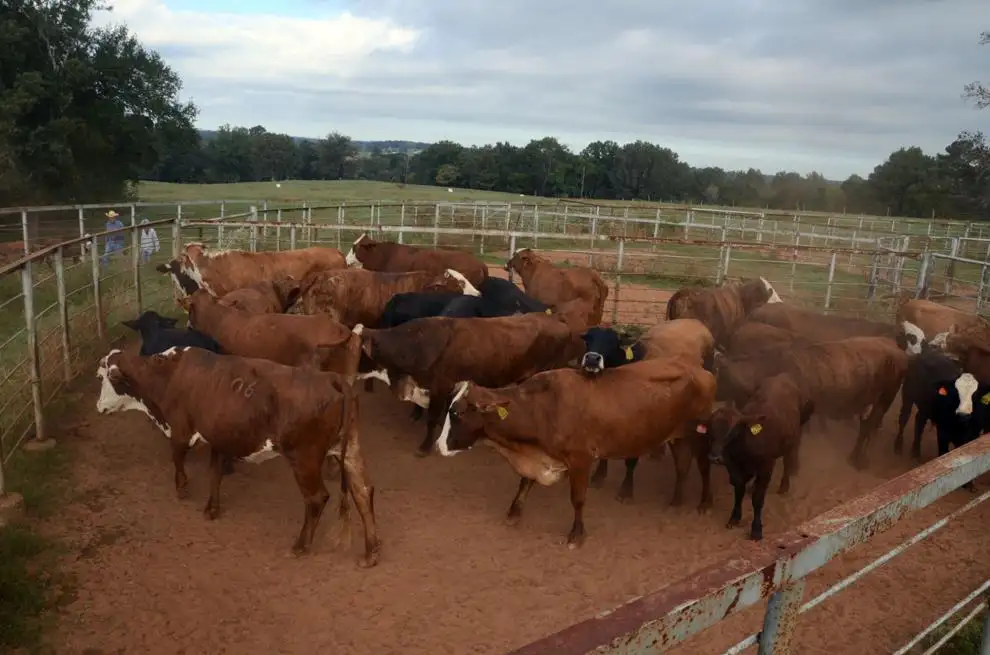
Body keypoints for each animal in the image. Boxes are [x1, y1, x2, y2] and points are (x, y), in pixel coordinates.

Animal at [94, 347, 380, 566]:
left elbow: (177, 459)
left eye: (107, 378)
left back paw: (300, 545)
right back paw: (370, 553)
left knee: (317, 498)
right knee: (363, 491)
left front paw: (182, 488)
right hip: (349, 450)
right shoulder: (220, 439)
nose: (99, 407)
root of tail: (332, 379)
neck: (169, 374)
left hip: (304, 458)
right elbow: (215, 474)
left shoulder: (181, 432)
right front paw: (212, 508)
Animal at [436, 357, 717, 548]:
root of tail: (700, 370)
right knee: (682, 465)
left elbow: (578, 499)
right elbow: (525, 482)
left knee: (704, 466)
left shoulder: (581, 459)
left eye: (457, 413)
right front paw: (513, 514)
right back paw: (676, 500)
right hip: (678, 436)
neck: (542, 408)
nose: (438, 445)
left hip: (700, 435)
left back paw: (705, 503)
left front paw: (576, 534)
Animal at [581, 319, 716, 501]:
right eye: (588, 339)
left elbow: (631, 460)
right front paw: (598, 477)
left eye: (612, 341)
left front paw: (626, 490)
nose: (592, 359)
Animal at [703, 373, 815, 541]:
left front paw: (756, 529)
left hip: (792, 440)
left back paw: (784, 486)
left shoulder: (766, 467)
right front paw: (734, 518)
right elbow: (739, 489)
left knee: (788, 461)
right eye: (711, 431)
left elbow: (758, 498)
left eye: (732, 433)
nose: (714, 457)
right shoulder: (733, 466)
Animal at [716, 336, 907, 470]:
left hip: (884, 400)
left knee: (872, 429)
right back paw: (853, 457)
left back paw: (863, 461)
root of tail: (892, 344)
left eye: (722, 377)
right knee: (865, 428)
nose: (714, 392)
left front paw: (794, 467)